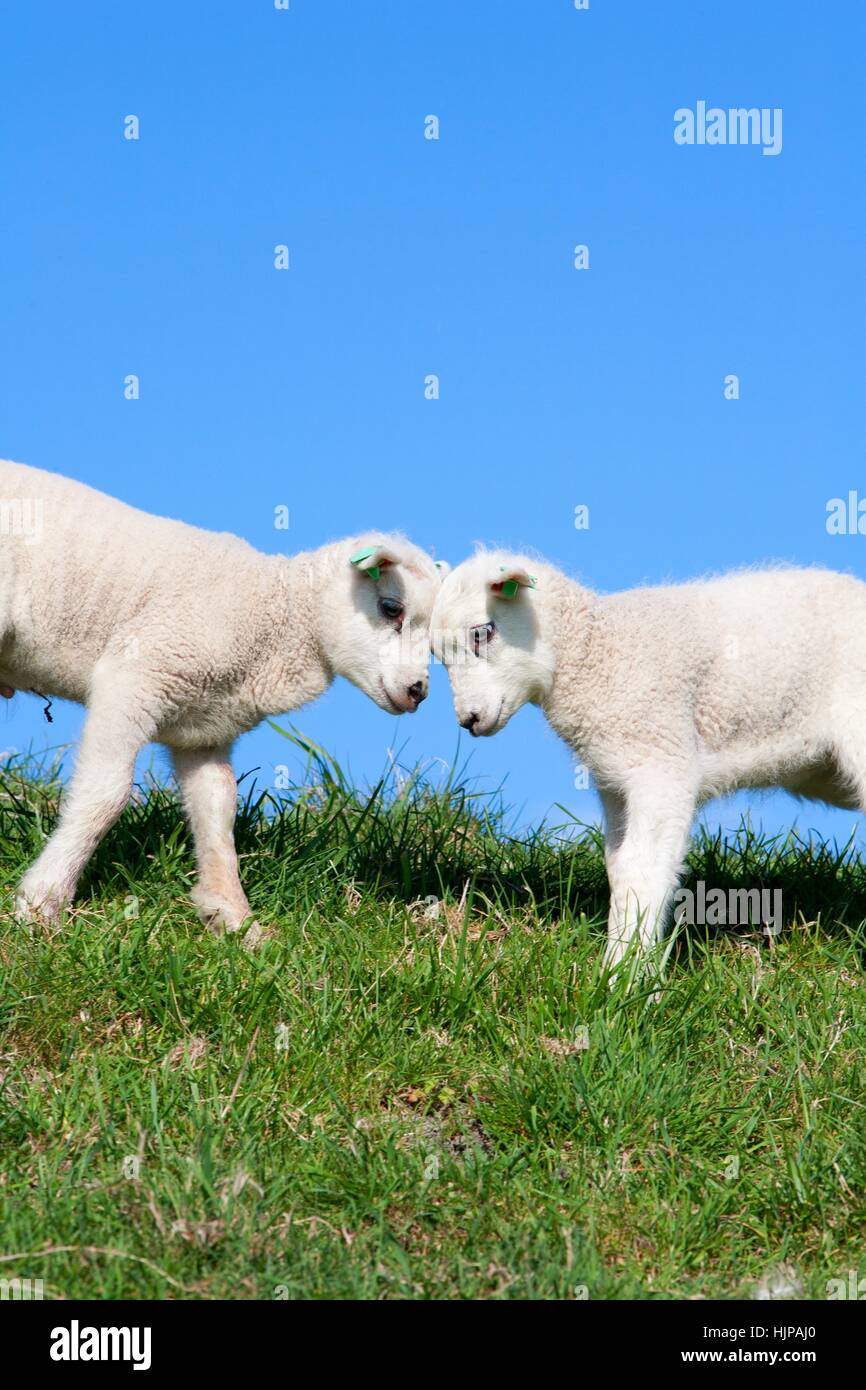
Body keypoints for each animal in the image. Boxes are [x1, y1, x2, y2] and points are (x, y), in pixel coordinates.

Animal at [1, 459, 444, 941]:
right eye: (391, 608)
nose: (418, 691)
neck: (277, 618)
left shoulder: (204, 728)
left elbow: (218, 810)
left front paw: (231, 917)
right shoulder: (135, 675)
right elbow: (107, 793)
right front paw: (43, 900)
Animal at [431, 550, 866, 970]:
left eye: (482, 632)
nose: (468, 720)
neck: (593, 648)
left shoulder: (662, 763)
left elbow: (644, 868)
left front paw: (628, 976)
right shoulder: (616, 784)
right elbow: (619, 867)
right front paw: (619, 960)